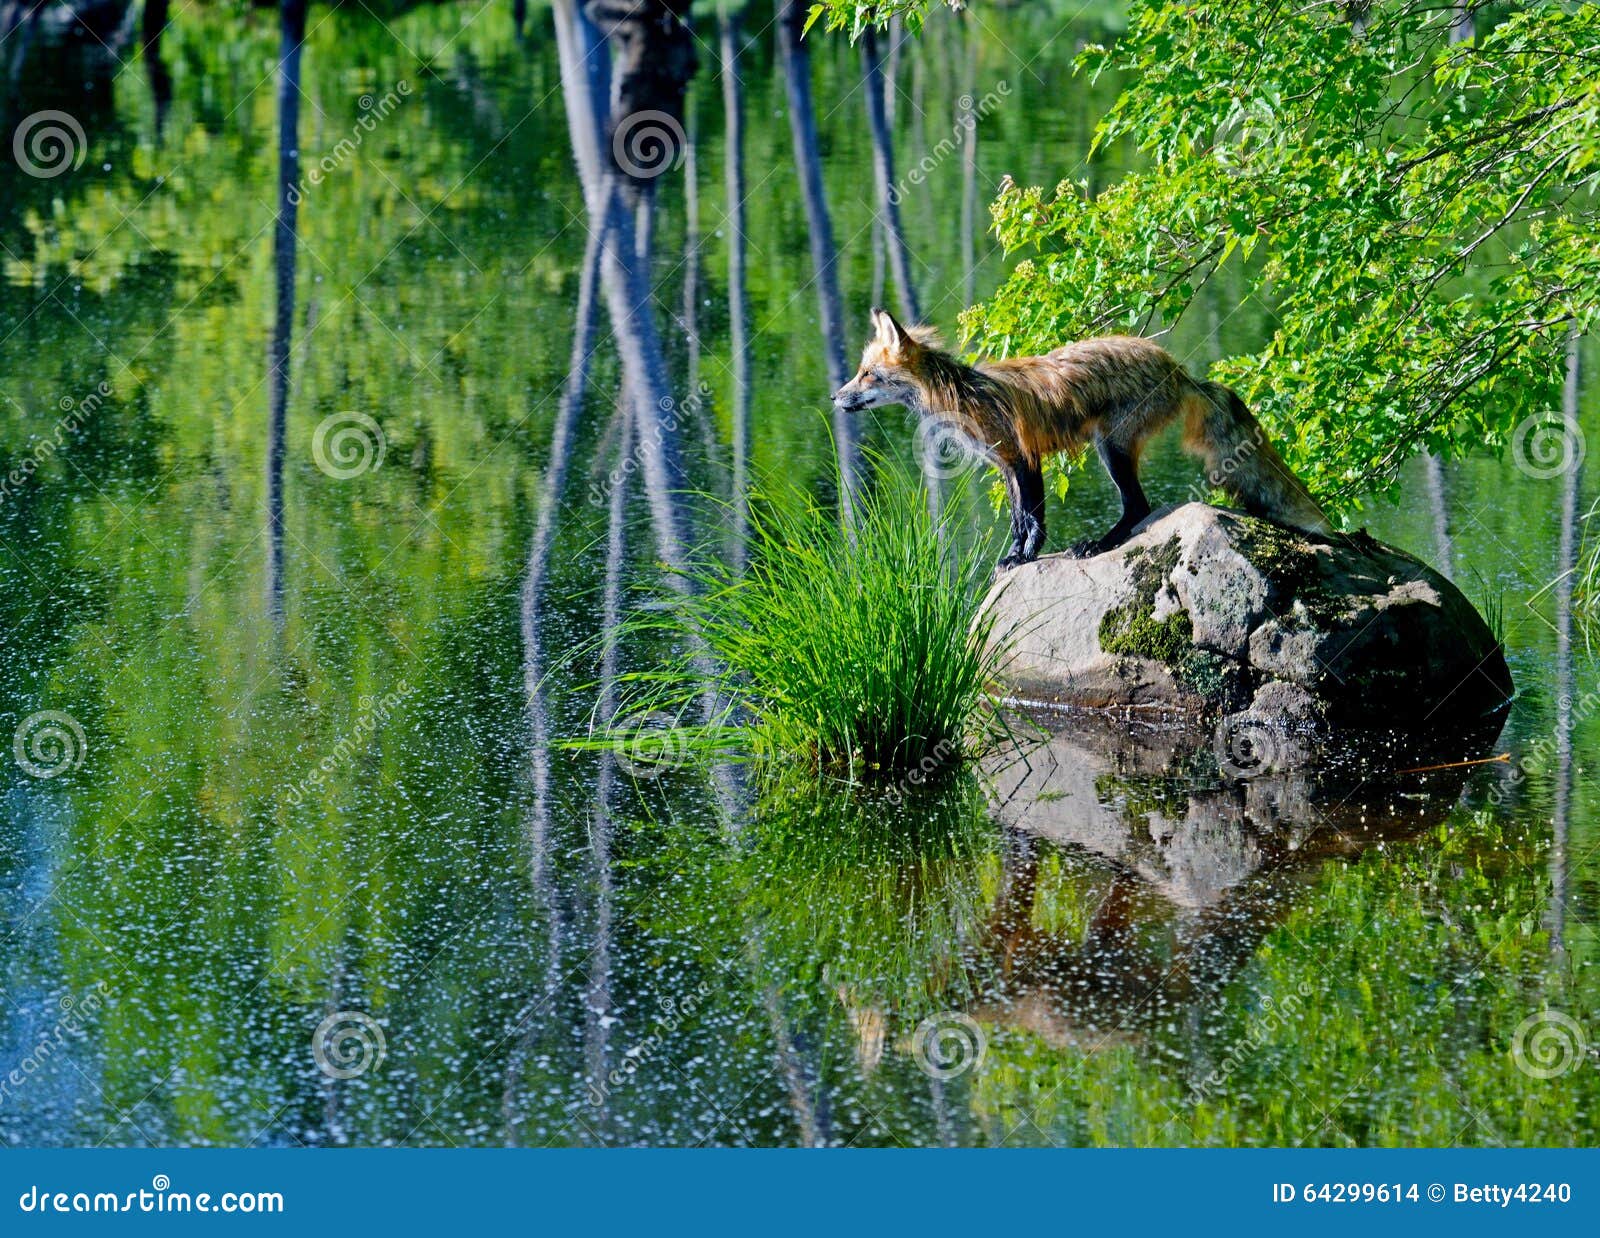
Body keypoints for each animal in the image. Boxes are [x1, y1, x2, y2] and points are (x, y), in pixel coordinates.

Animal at [832, 308, 1333, 568]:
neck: (963, 396)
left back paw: (1099, 544)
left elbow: (1032, 519)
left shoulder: (1022, 457)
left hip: (1111, 448)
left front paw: (1025, 557)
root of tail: (1178, 368)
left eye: (867, 375)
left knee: (1139, 506)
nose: (836, 397)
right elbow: (1016, 520)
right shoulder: (1006, 464)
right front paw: (1011, 558)